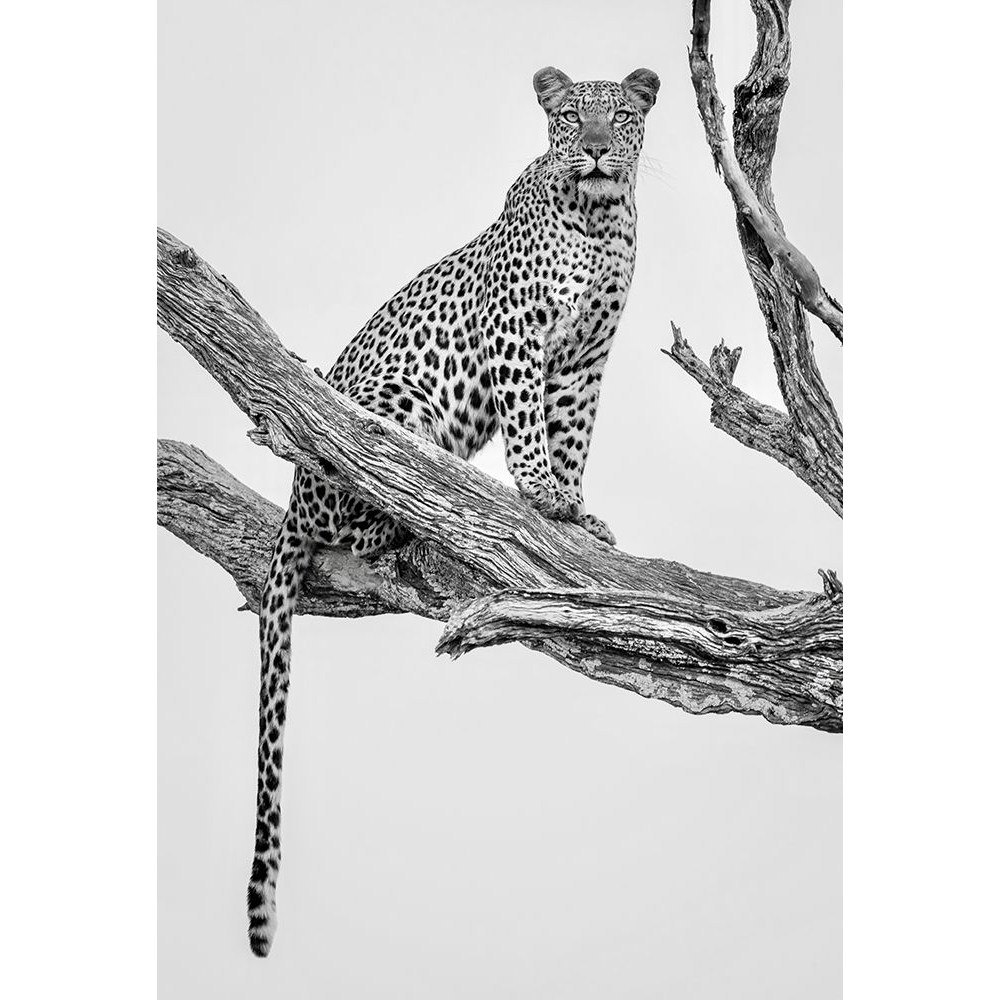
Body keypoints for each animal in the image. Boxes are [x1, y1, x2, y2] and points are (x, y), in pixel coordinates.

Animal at [247, 65, 660, 956]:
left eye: (620, 116)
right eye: (570, 118)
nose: (594, 151)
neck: (600, 219)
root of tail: (291, 502)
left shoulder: (585, 360)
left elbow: (573, 434)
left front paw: (575, 512)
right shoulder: (517, 333)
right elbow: (530, 424)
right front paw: (540, 494)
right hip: (387, 410)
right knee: (365, 493)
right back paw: (404, 509)